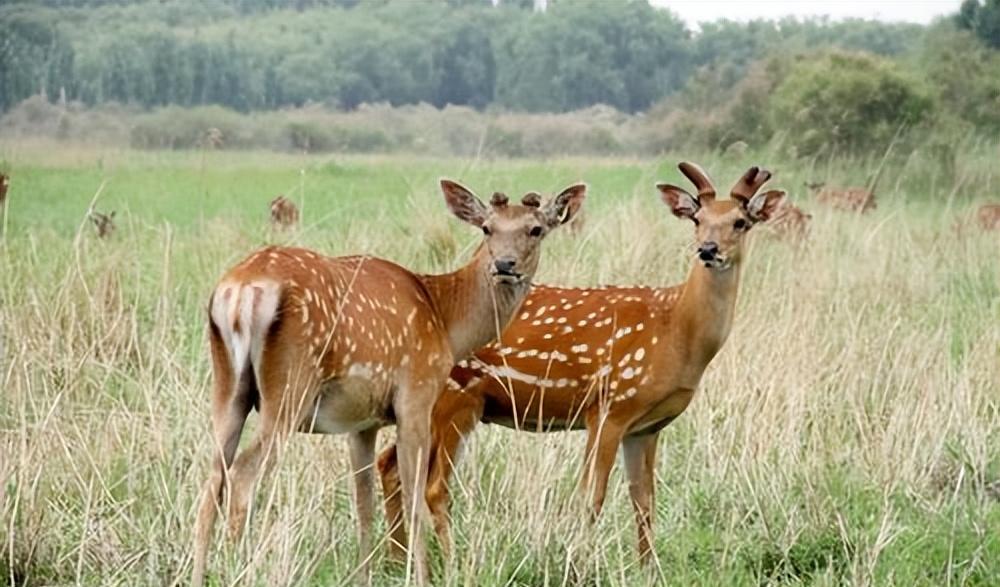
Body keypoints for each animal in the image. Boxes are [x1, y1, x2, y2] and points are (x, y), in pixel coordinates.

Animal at [191, 180, 586, 586]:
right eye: (487, 228)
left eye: (535, 229)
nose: (504, 264)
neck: (445, 319)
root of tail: (240, 292)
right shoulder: (416, 396)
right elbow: (414, 497)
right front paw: (422, 576)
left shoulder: (362, 422)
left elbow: (364, 505)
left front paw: (364, 575)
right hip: (290, 387)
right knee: (242, 476)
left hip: (228, 388)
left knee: (211, 481)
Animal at [377, 162, 785, 562]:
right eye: (698, 219)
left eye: (740, 222)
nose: (708, 249)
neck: (676, 330)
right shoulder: (609, 405)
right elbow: (592, 497)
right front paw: (579, 563)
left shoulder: (647, 426)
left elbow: (644, 502)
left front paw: (647, 570)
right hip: (455, 398)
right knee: (431, 486)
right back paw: (451, 563)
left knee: (389, 465)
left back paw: (396, 560)